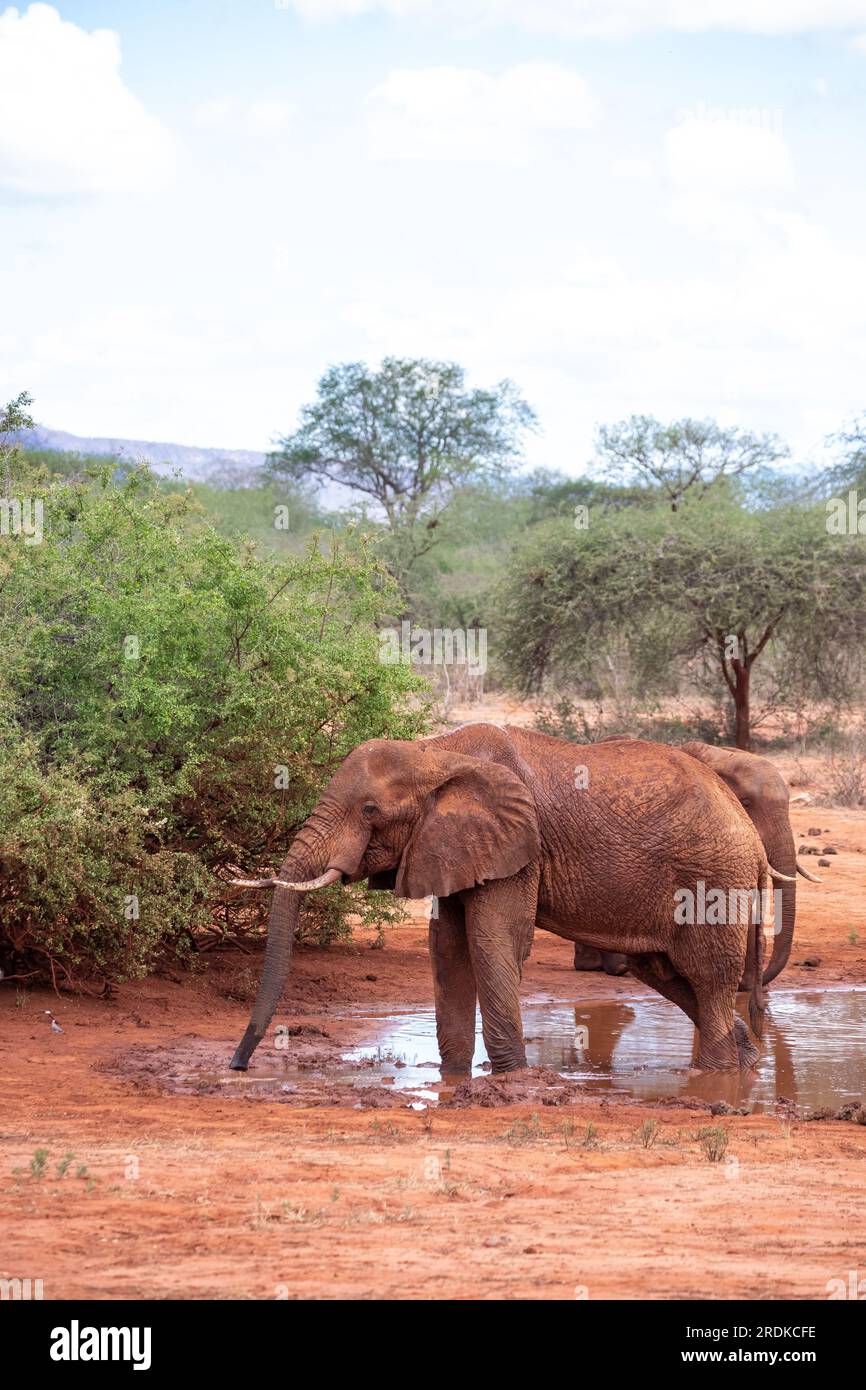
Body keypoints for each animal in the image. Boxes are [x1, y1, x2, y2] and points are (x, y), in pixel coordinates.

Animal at [229, 724, 794, 1077]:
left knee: (708, 978)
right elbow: (448, 950)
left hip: (711, 879)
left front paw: (510, 1079)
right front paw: (455, 1078)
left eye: (370, 810)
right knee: (668, 974)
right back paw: (744, 1063)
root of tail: (751, 838)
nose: (239, 1063)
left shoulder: (521, 846)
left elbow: (492, 942)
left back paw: (716, 1079)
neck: (436, 752)